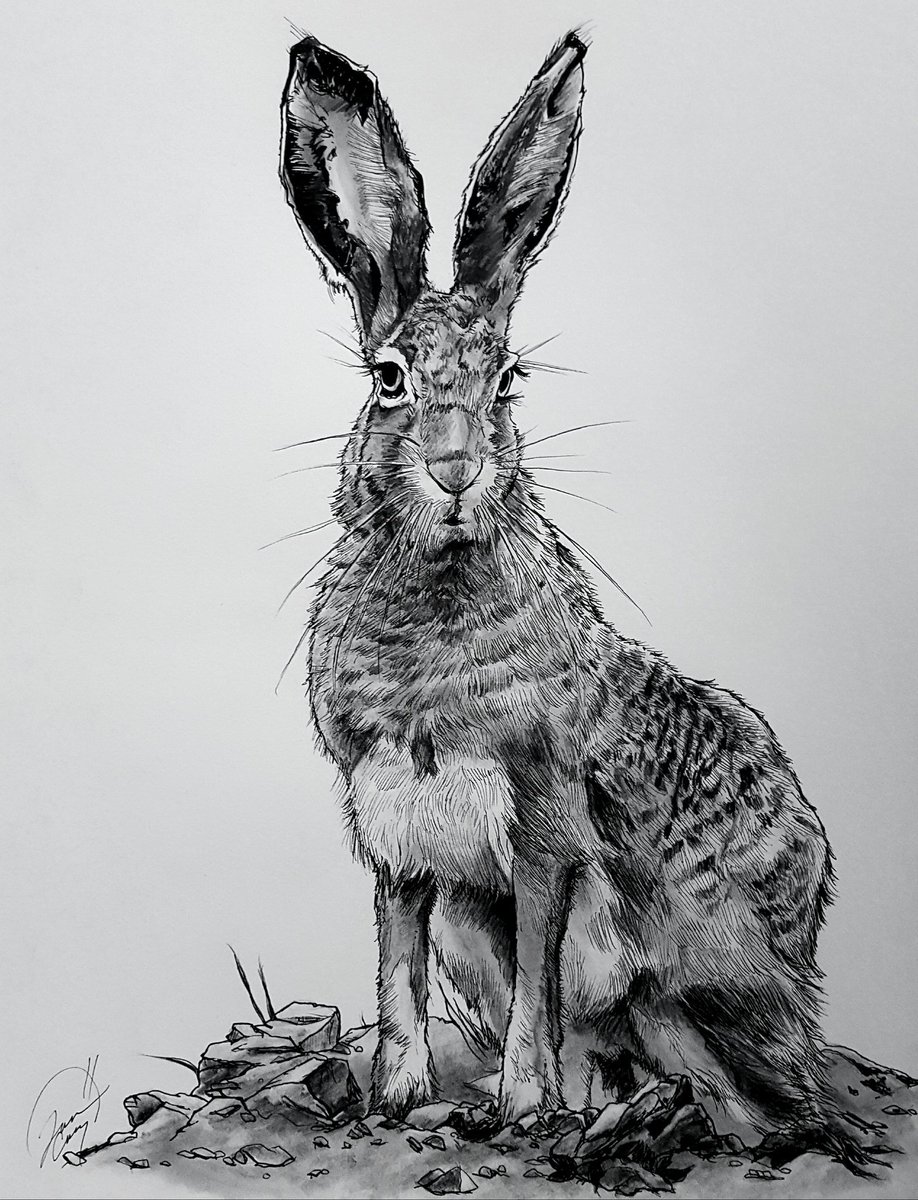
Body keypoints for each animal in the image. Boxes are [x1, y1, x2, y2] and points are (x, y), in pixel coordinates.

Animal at [279, 32, 883, 1173]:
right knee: (633, 1058)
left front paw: (522, 1104)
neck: (438, 588)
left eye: (509, 378)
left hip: (694, 993)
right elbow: (397, 967)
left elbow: (536, 979)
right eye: (388, 378)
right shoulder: (394, 841)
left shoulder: (545, 831)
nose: (457, 470)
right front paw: (400, 1097)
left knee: (754, 1100)